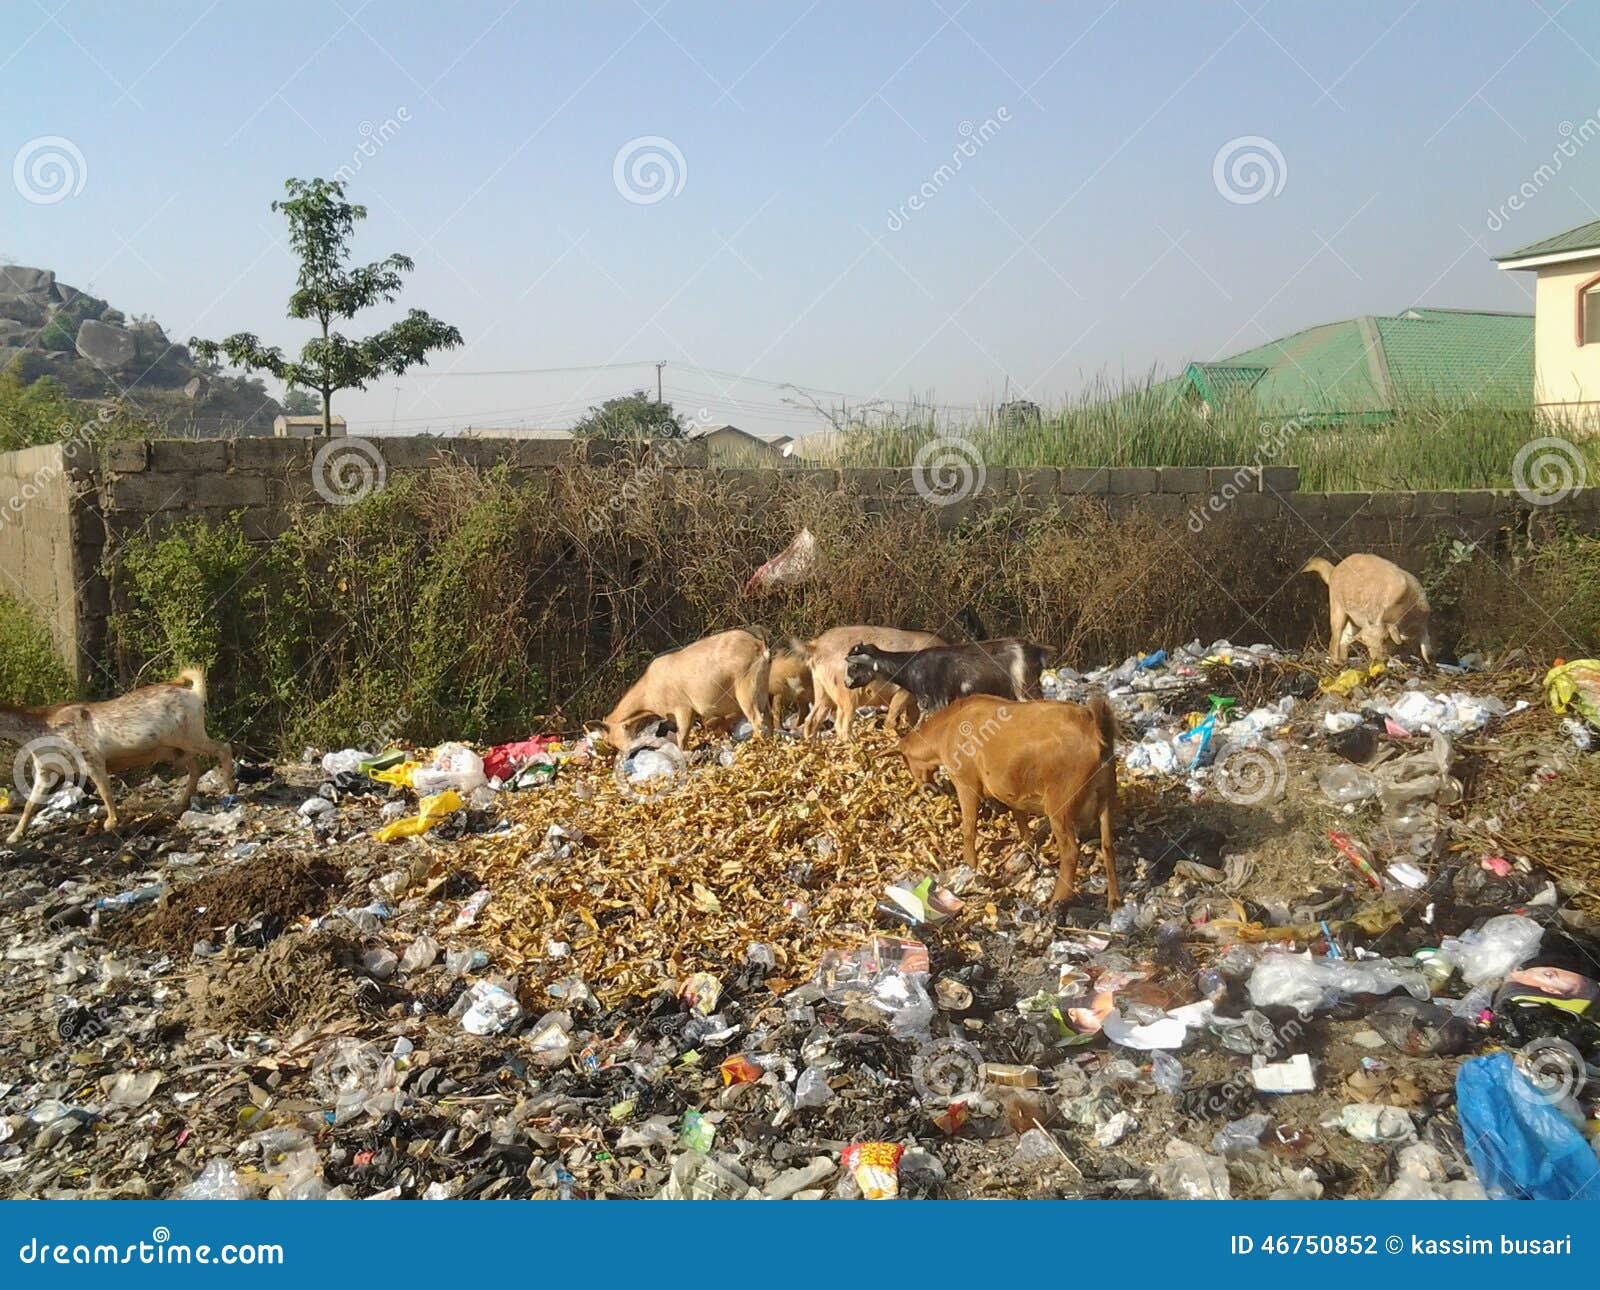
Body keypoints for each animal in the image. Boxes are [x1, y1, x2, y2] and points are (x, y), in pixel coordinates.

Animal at [1, 668, 234, 844]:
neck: (43, 726)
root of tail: (193, 693)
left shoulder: (91, 758)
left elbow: (105, 790)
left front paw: (111, 822)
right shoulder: (45, 770)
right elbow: (30, 804)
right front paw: (15, 835)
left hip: (191, 736)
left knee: (223, 748)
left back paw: (230, 787)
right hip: (177, 750)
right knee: (195, 768)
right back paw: (181, 802)